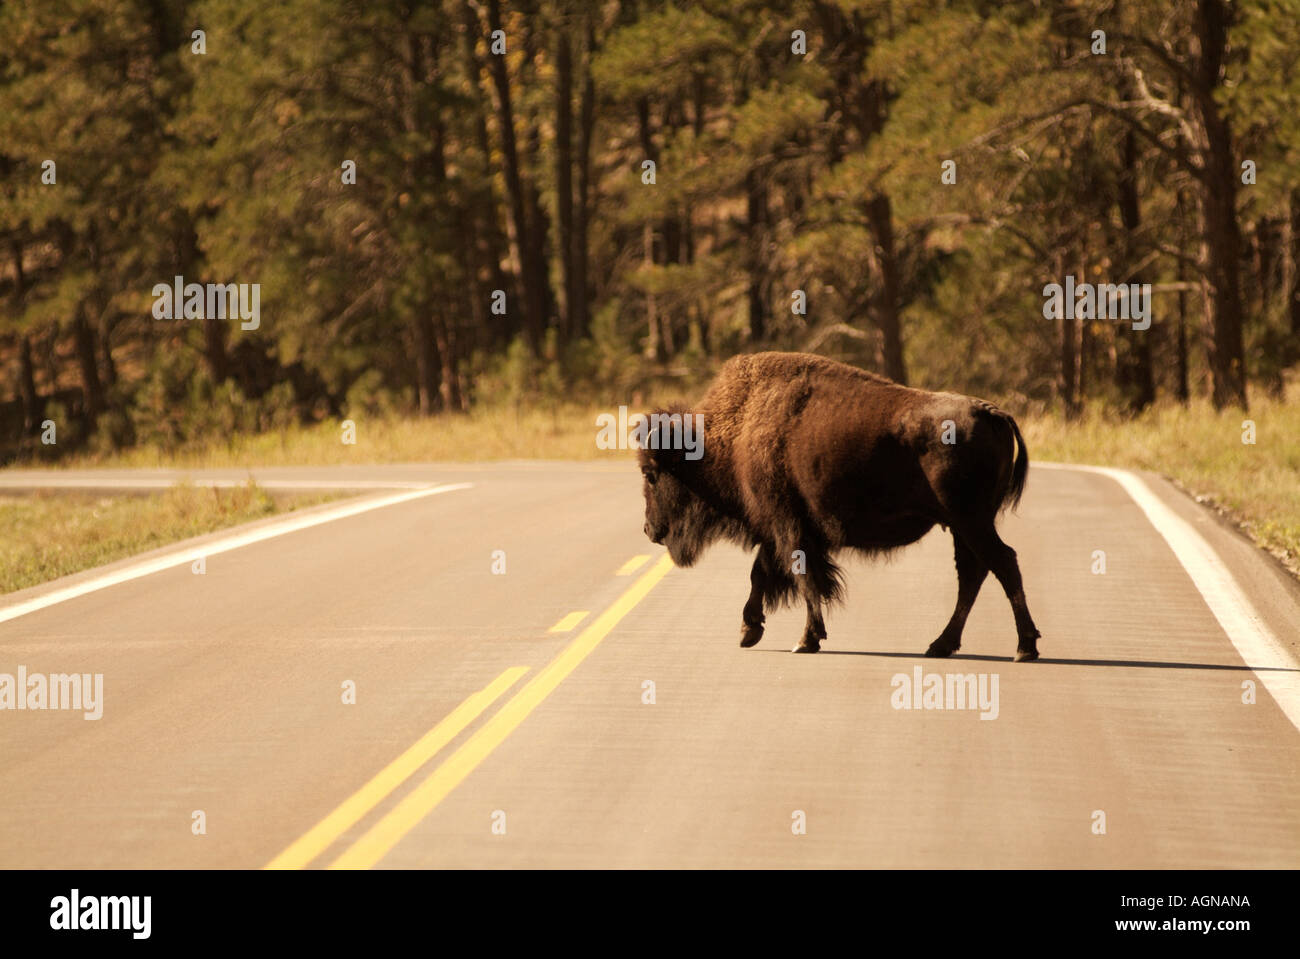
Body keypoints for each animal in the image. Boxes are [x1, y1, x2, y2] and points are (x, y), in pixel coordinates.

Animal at [637, 352, 1041, 661]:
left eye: (651, 474)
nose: (648, 529)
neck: (738, 427)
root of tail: (992, 413)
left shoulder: (787, 526)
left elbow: (803, 578)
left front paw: (805, 640)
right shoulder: (779, 528)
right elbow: (762, 574)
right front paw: (749, 631)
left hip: (971, 521)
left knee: (1002, 563)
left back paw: (1024, 647)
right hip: (962, 526)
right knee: (974, 573)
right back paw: (941, 645)